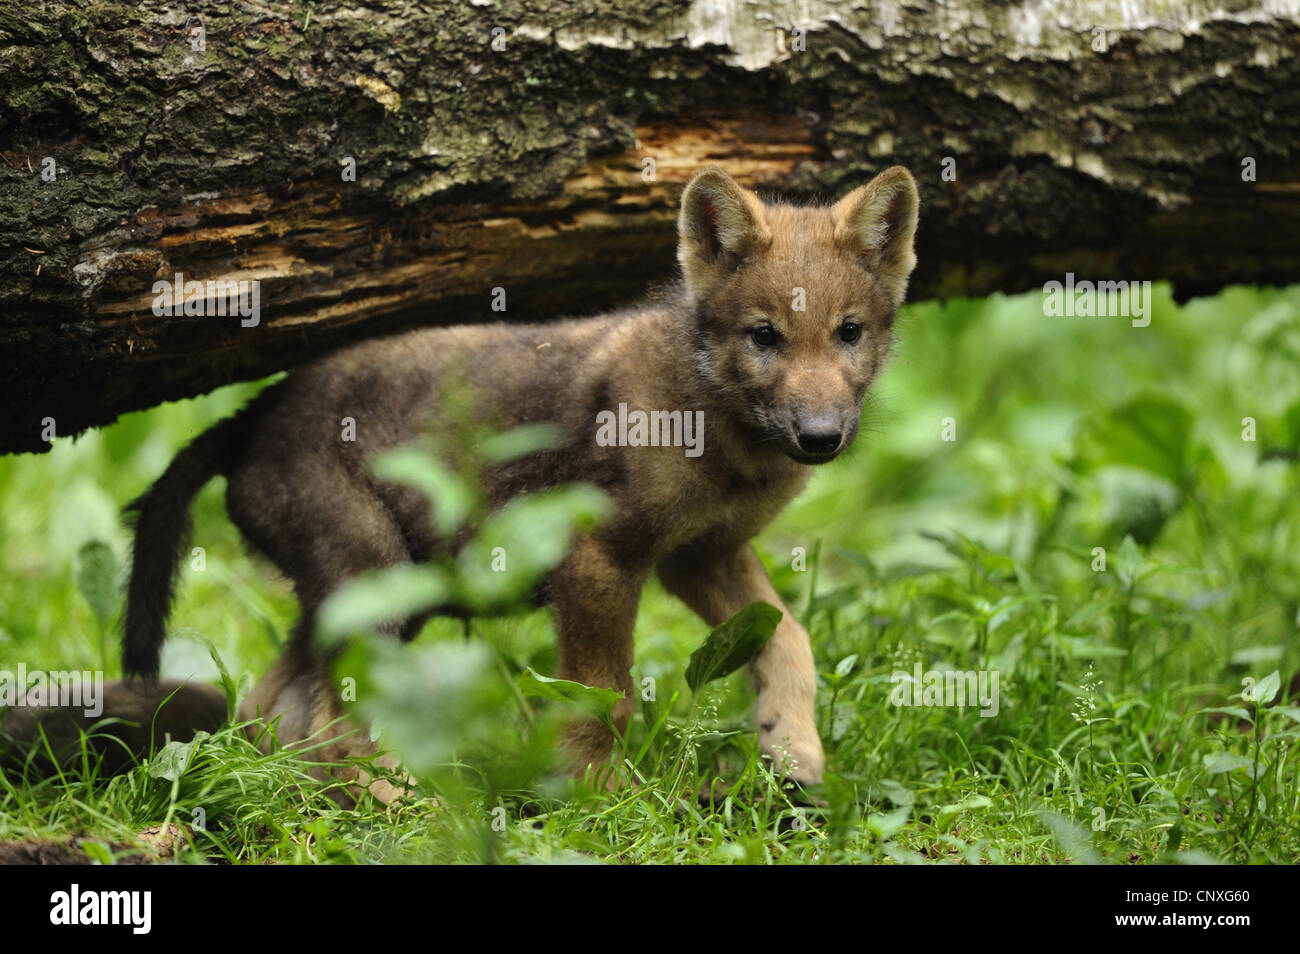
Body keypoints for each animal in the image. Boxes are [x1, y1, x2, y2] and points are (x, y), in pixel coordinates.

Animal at [100, 165, 920, 797]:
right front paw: (594, 801)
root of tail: (251, 411)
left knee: (277, 713)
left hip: (377, 593)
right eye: (764, 337)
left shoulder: (701, 556)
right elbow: (604, 694)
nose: (821, 436)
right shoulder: (596, 555)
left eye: (849, 333)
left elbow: (790, 641)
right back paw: (412, 809)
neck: (720, 436)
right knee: (330, 723)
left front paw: (794, 753)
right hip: (374, 582)